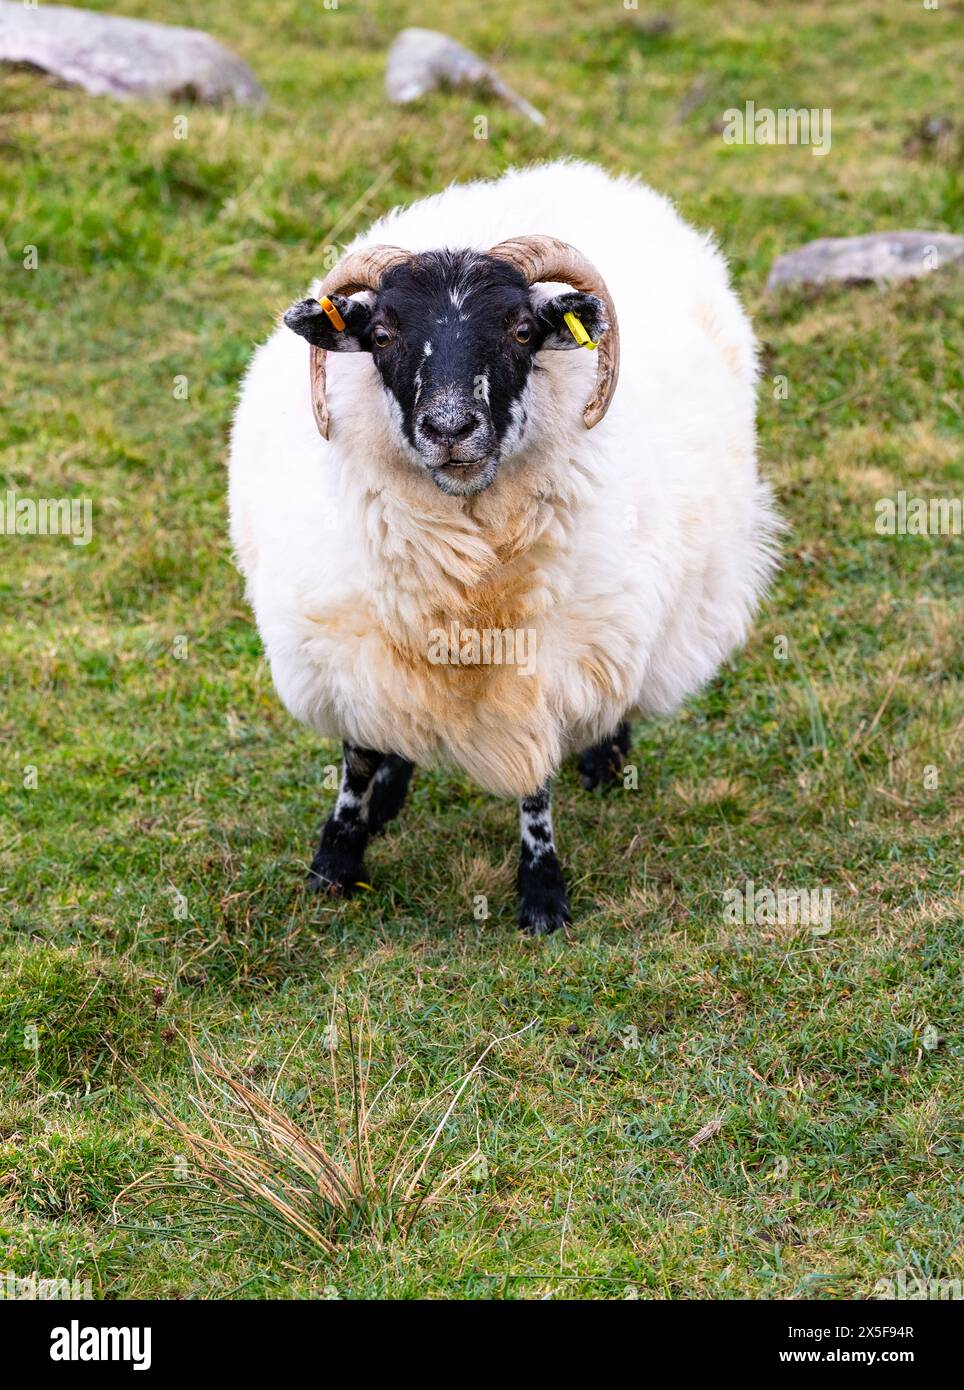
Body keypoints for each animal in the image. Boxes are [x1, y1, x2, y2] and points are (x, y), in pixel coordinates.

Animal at [228, 159, 781, 934]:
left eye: (522, 330)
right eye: (382, 335)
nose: (450, 428)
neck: (470, 592)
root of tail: (583, 174)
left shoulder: (549, 665)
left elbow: (535, 787)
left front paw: (543, 894)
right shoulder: (350, 649)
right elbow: (358, 760)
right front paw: (335, 862)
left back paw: (606, 759)